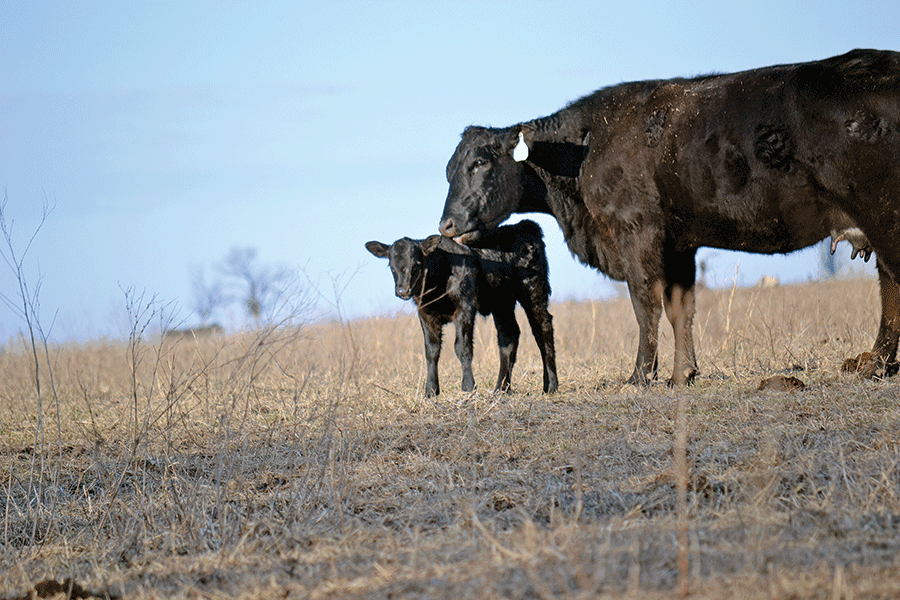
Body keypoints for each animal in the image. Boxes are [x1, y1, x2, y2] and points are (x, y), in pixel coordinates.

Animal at [366, 220, 557, 397]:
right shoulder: (425, 313)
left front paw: (468, 387)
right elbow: (431, 350)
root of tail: (524, 225)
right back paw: (502, 388)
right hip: (502, 302)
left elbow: (462, 347)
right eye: (391, 266)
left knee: (542, 330)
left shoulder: (464, 308)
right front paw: (431, 390)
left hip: (533, 289)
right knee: (509, 336)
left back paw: (550, 385)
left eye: (416, 264)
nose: (403, 290)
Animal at [438, 49, 900, 385]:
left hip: (882, 213)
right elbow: (681, 308)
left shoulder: (636, 233)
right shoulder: (679, 245)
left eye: (479, 162)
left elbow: (645, 305)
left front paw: (640, 376)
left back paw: (878, 362)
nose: (446, 225)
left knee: (892, 281)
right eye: (448, 168)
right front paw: (683, 374)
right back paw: (876, 362)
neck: (585, 147)